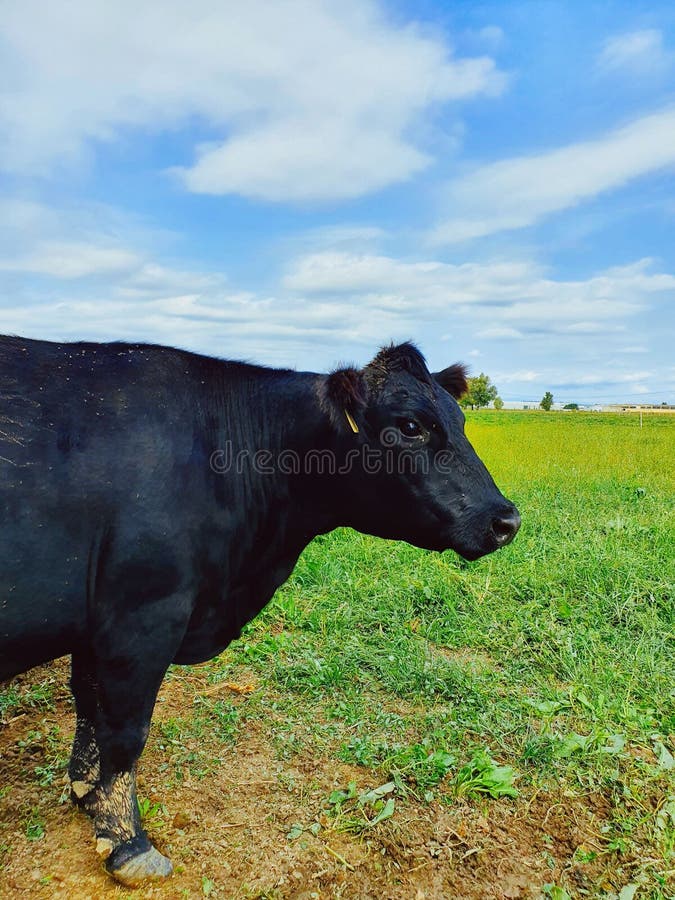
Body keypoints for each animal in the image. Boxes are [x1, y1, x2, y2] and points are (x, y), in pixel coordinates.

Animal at [0, 335, 520, 885]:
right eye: (411, 426)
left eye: (460, 421)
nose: (506, 520)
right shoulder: (143, 616)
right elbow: (124, 730)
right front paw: (127, 842)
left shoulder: (92, 625)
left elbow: (86, 703)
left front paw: (87, 791)